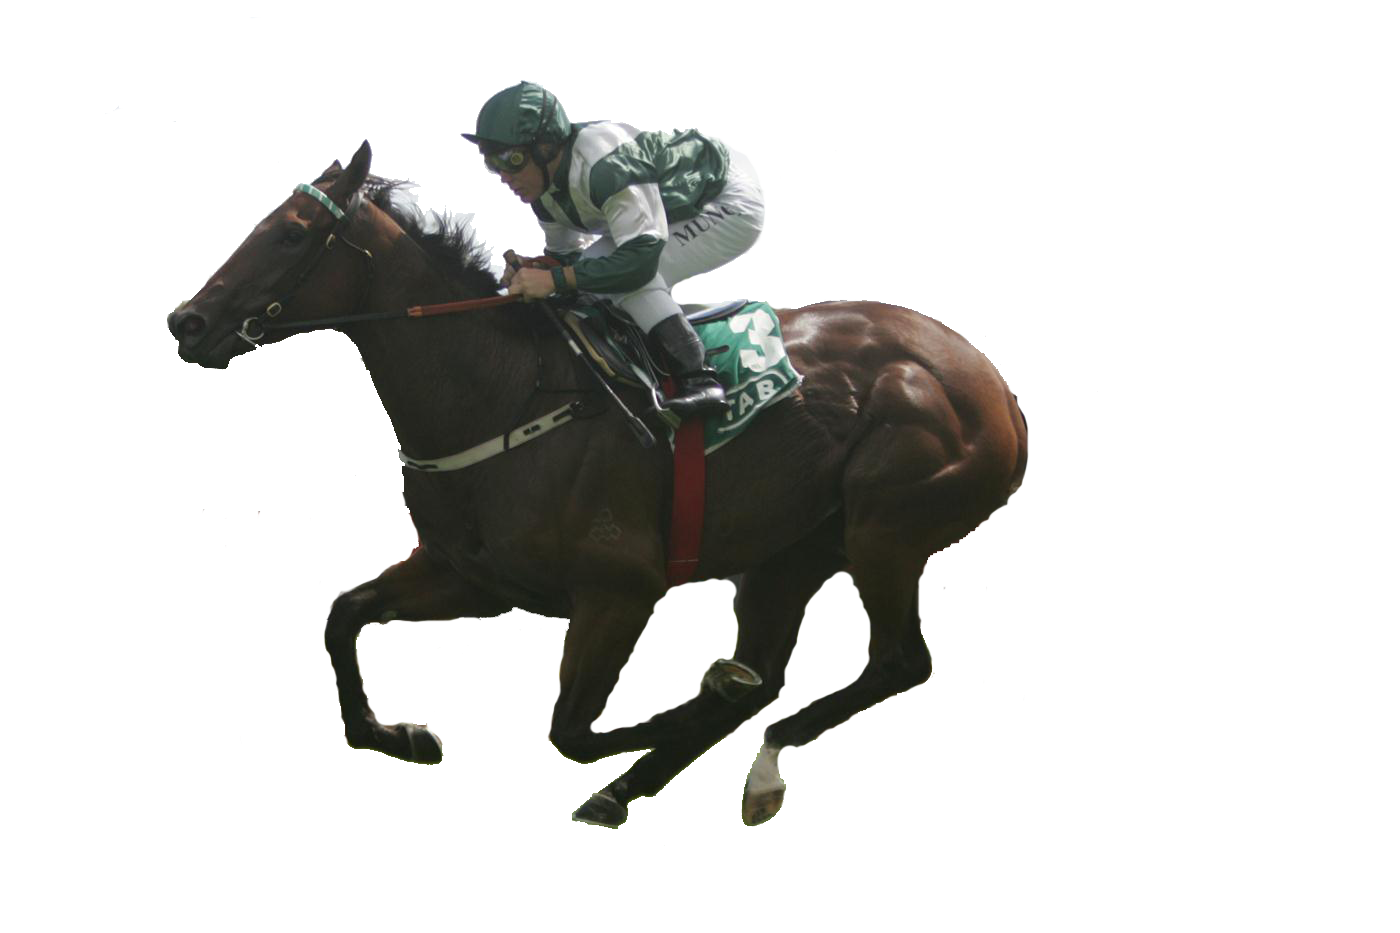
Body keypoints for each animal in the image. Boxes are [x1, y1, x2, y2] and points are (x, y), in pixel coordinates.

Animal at [166, 141, 1030, 828]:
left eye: (290, 233)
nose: (187, 322)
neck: (502, 388)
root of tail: (994, 383)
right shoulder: (476, 577)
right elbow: (342, 616)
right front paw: (401, 735)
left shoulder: (621, 588)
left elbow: (571, 731)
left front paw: (697, 699)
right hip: (787, 556)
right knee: (777, 673)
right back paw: (674, 768)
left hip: (887, 527)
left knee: (894, 663)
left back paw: (740, 752)